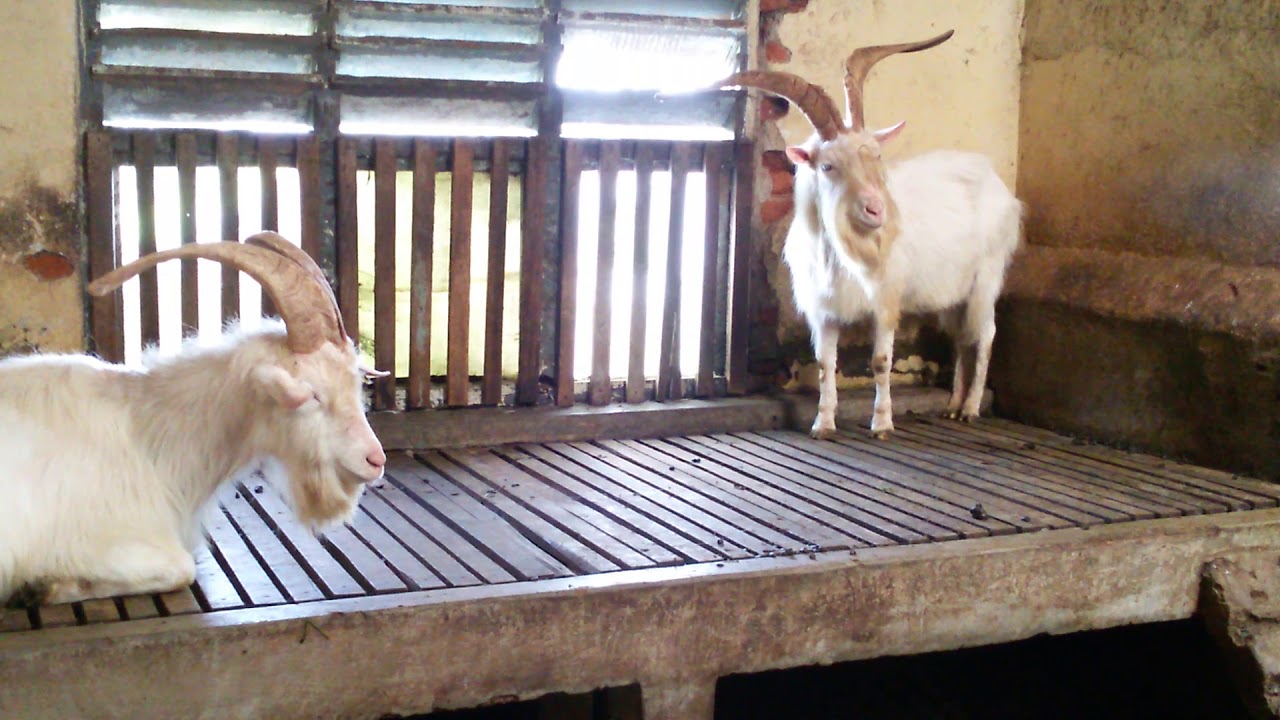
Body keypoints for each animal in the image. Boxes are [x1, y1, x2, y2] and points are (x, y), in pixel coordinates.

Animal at [0, 232, 388, 606]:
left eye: (355, 381)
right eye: (312, 394)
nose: (375, 459)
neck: (149, 435)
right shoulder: (92, 541)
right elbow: (182, 568)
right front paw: (43, 587)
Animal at [719, 31, 1022, 439]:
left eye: (876, 156)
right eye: (828, 166)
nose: (877, 210)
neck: (841, 253)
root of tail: (996, 181)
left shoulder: (885, 300)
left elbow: (880, 361)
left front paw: (882, 423)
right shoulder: (823, 308)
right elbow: (824, 364)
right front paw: (823, 423)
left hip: (986, 277)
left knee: (985, 334)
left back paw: (971, 408)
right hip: (952, 293)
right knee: (962, 336)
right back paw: (953, 406)